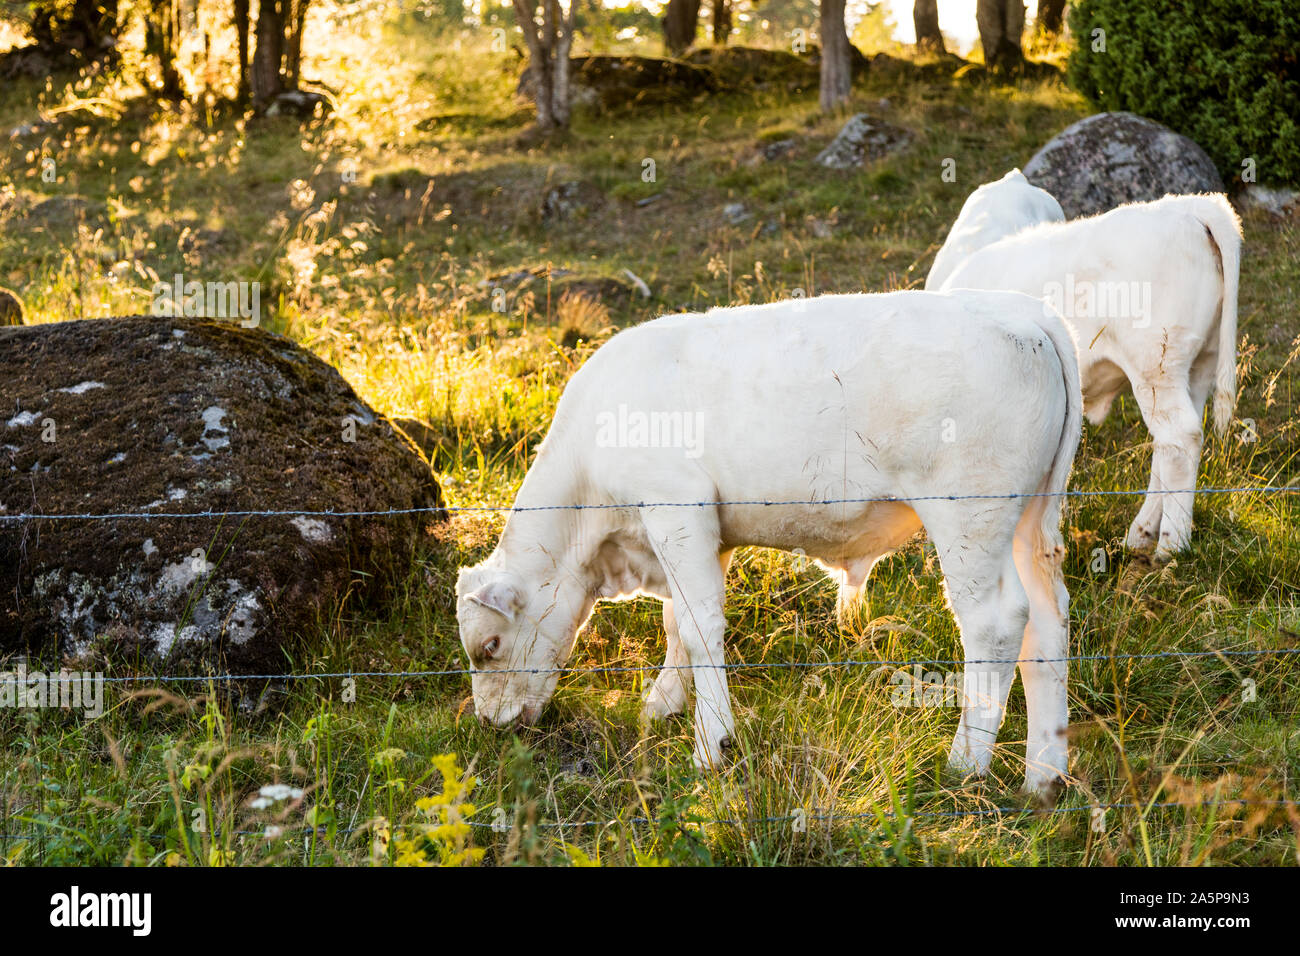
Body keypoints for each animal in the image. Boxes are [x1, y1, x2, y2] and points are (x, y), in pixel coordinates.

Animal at [455, 289, 1082, 796]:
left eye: (489, 645)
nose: (488, 724)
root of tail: (1022, 311)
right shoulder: (707, 534)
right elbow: (677, 622)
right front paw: (664, 703)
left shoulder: (675, 510)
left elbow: (700, 628)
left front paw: (711, 746)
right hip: (1028, 526)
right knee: (1047, 624)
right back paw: (1043, 776)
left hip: (970, 518)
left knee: (997, 625)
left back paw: (965, 762)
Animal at [938, 192, 1242, 558]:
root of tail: (1189, 206)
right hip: (1195, 367)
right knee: (1169, 445)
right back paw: (1140, 533)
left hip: (1155, 367)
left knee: (1181, 438)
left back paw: (1171, 547)